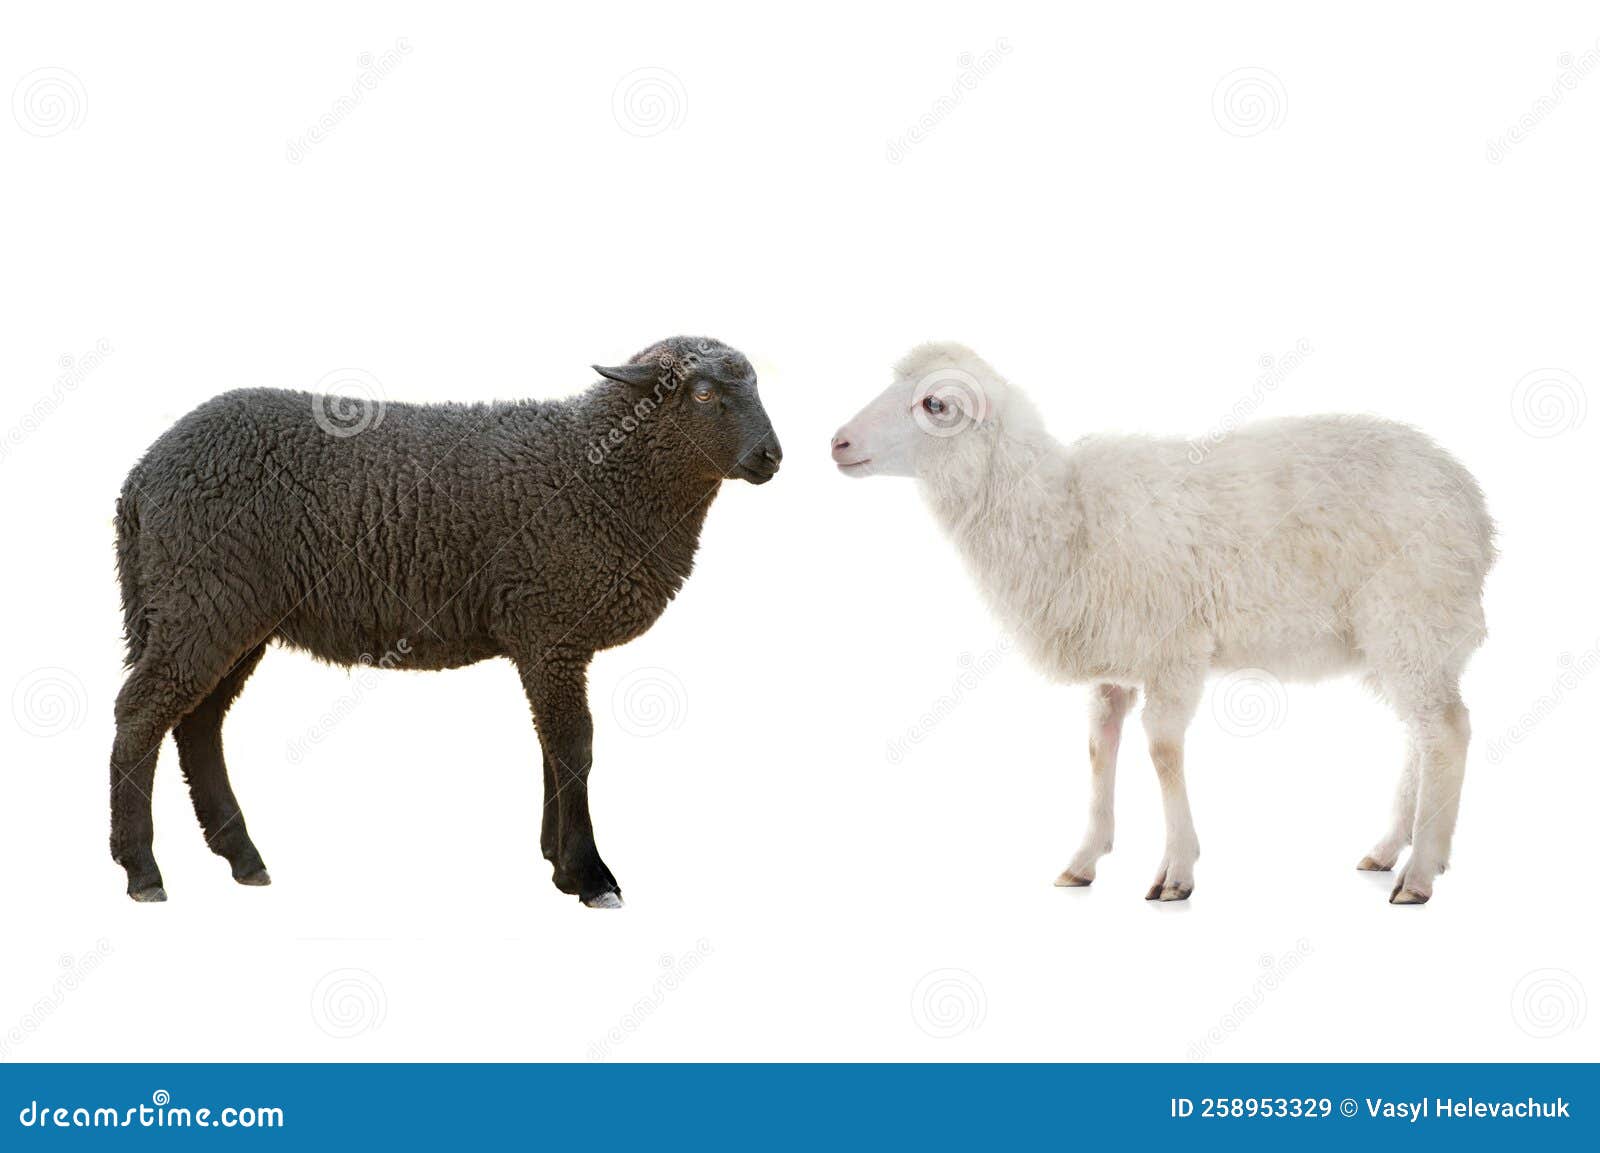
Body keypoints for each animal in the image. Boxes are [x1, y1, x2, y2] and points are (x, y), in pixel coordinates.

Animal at [111, 335, 781, 907]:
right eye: (701, 393)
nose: (772, 456)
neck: (598, 473)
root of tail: (141, 477)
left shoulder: (542, 636)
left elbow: (549, 743)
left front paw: (556, 861)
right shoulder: (550, 626)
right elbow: (574, 746)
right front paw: (589, 875)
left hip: (225, 610)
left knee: (198, 723)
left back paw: (242, 857)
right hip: (201, 598)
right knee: (141, 713)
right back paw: (141, 869)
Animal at [831, 342, 1494, 905]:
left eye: (934, 405)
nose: (837, 442)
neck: (1066, 510)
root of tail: (1470, 497)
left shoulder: (1174, 648)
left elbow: (1163, 751)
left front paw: (1176, 870)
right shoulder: (1113, 657)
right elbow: (1099, 749)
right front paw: (1085, 859)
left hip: (1413, 612)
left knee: (1448, 731)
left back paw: (1420, 871)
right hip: (1400, 636)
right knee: (1422, 732)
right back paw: (1391, 849)